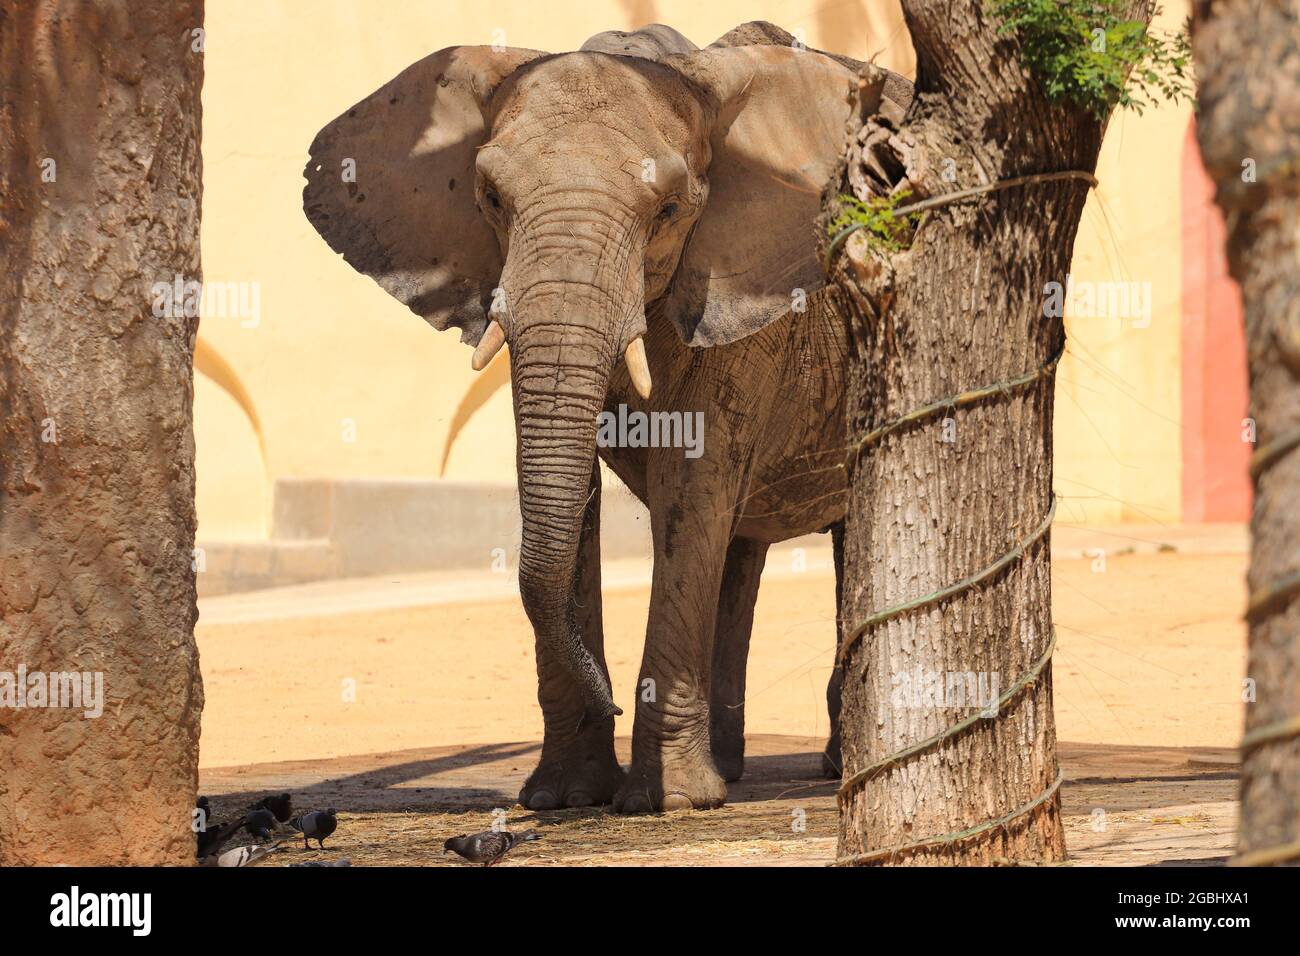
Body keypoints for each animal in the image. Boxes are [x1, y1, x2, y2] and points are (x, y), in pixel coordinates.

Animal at [303, 21, 913, 812]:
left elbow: (691, 486)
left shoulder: (740, 293)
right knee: (741, 546)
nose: (615, 700)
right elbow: (571, 492)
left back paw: (830, 764)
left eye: (670, 211)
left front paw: (668, 803)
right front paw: (565, 797)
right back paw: (730, 766)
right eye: (489, 197)